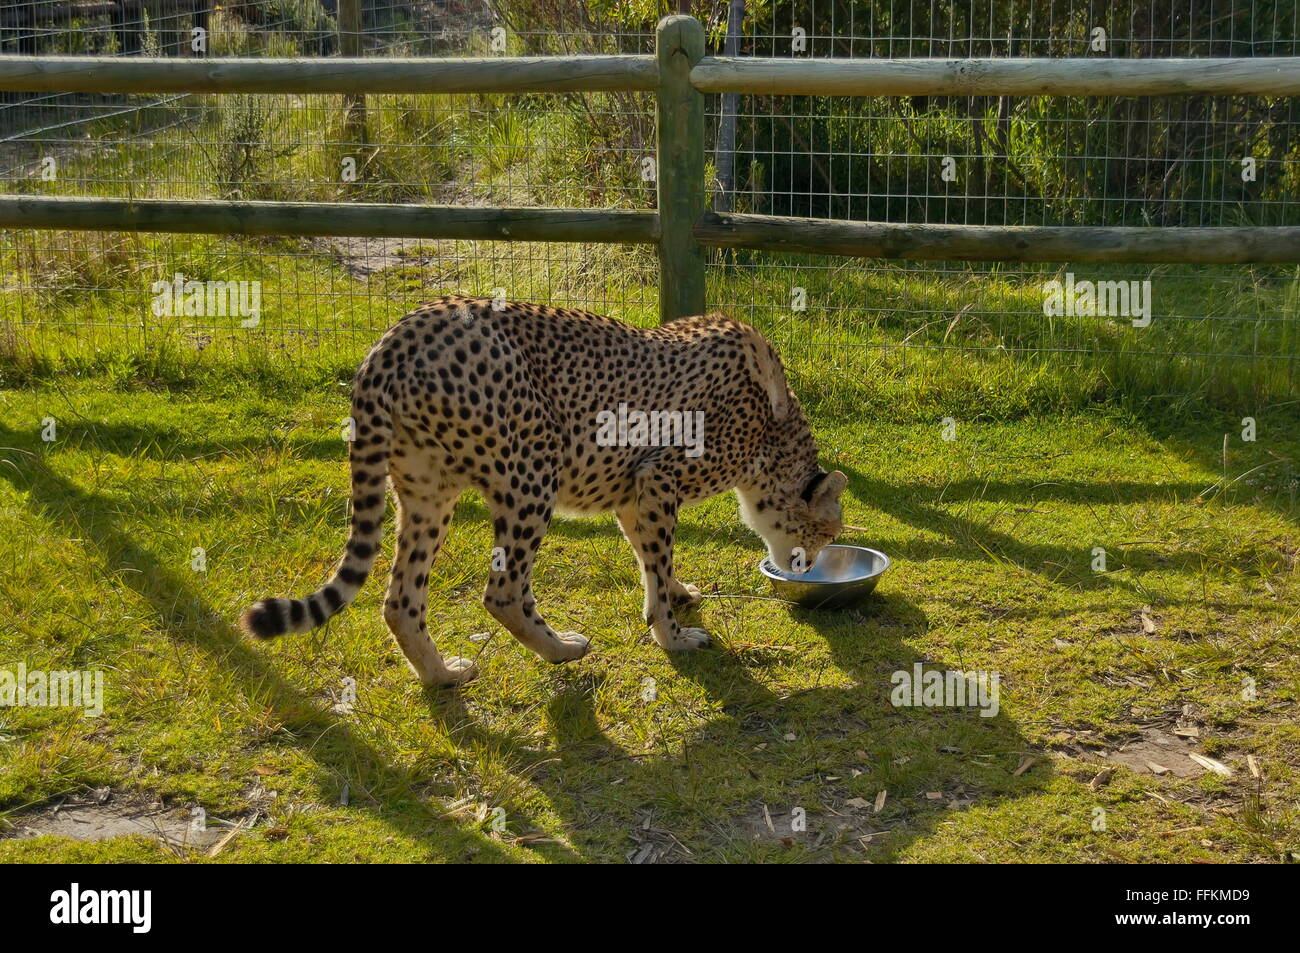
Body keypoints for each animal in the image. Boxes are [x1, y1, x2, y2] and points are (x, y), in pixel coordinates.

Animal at [240, 296, 847, 686]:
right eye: (825, 533)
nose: (806, 566)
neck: (771, 432)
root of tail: (399, 336)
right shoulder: (658, 477)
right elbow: (657, 561)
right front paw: (673, 637)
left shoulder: (635, 490)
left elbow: (653, 560)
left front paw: (676, 594)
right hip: (533, 467)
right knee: (503, 591)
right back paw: (560, 650)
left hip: (427, 493)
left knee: (400, 600)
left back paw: (441, 676)